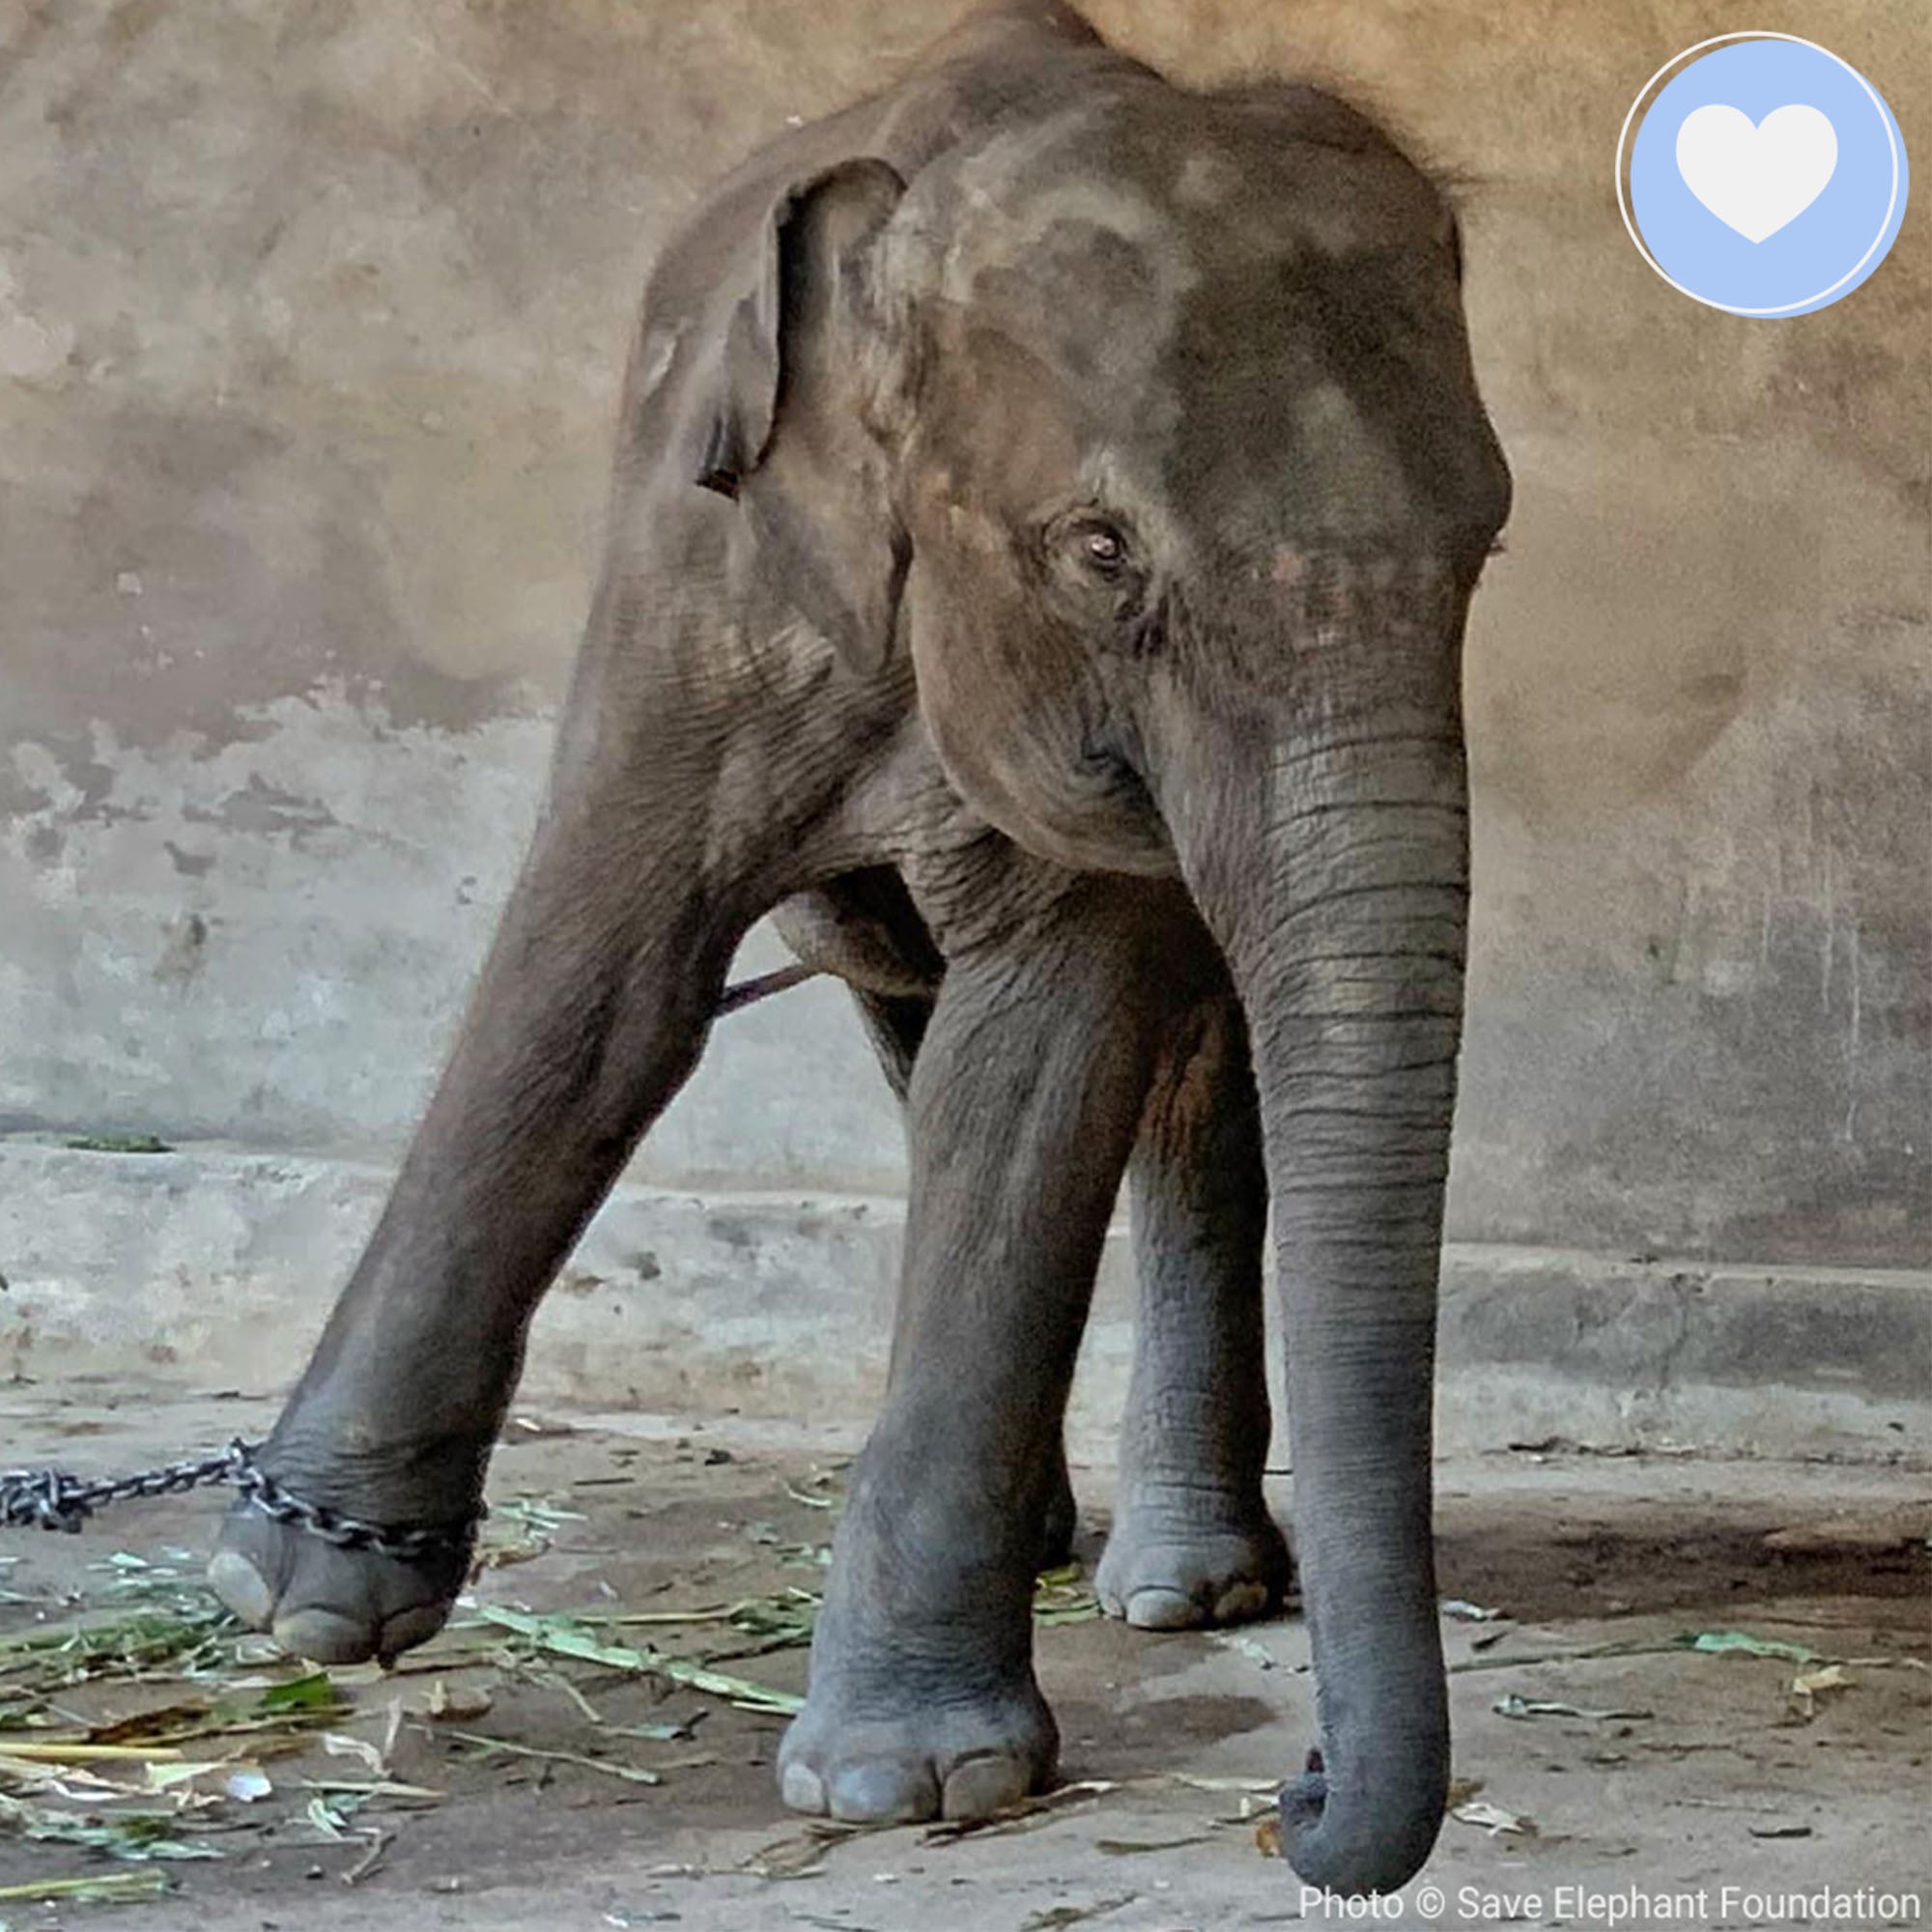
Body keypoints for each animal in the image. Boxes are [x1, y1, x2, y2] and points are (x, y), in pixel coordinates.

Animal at [204, 0, 1510, 1897]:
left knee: (1170, 1086)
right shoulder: (700, 551)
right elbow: (606, 973)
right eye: (1100, 550)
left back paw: (1181, 1588)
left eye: (1489, 541)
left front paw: (909, 1785)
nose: (1306, 1785)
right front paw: (297, 1602)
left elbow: (1041, 1061)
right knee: (919, 1028)